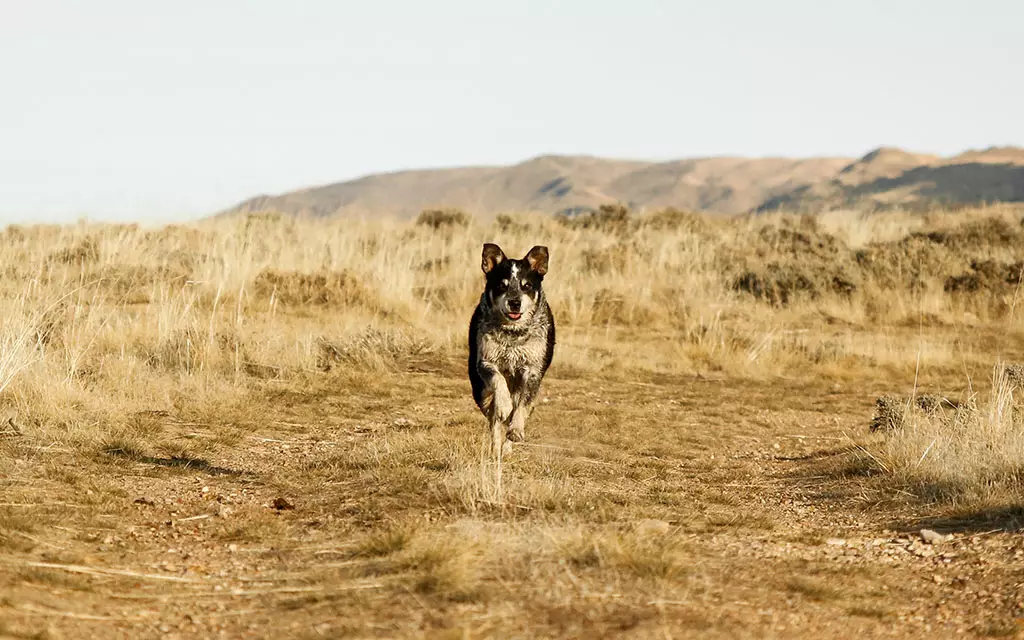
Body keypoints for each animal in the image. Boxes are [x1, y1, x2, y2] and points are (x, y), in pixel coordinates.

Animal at [468, 241, 557, 456]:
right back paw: (496, 447)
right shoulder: (486, 361)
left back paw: (508, 446)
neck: (513, 334)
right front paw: (504, 405)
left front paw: (516, 430)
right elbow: (498, 381)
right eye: (502, 285)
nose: (515, 303)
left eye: (527, 286)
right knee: (493, 419)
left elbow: (522, 406)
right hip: (481, 392)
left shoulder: (533, 371)